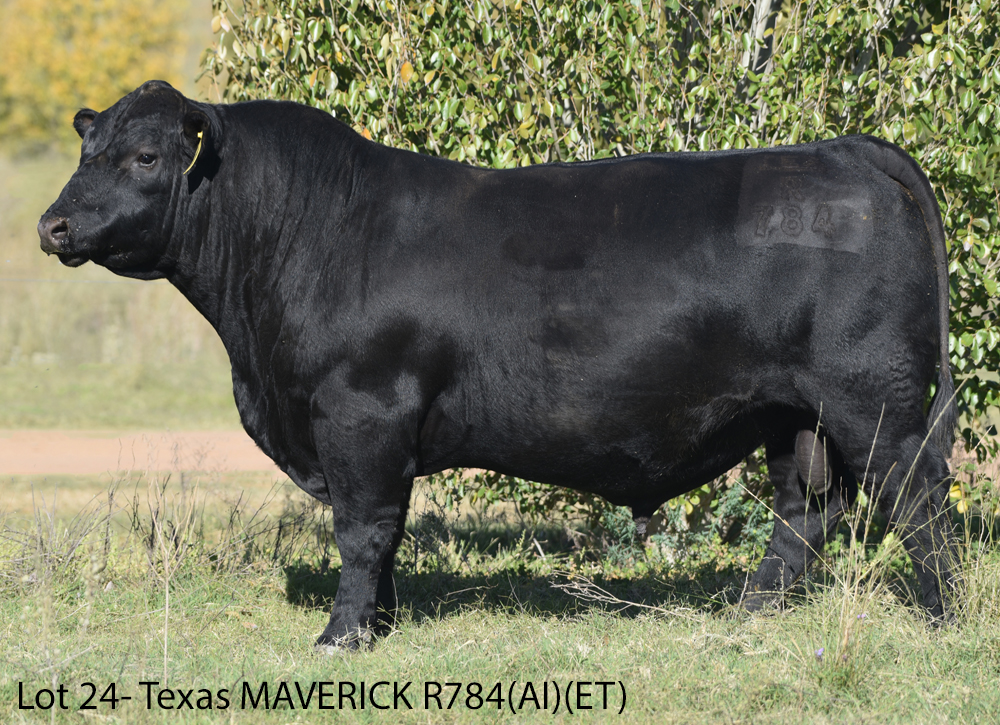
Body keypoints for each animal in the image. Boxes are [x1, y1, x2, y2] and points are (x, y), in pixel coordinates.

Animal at [39, 81, 959, 650]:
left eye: (146, 157)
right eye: (87, 151)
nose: (53, 225)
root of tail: (840, 149)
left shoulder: (360, 412)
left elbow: (362, 529)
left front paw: (339, 637)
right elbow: (387, 531)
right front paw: (377, 625)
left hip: (873, 398)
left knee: (917, 497)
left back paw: (945, 615)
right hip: (792, 413)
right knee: (806, 509)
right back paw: (750, 611)